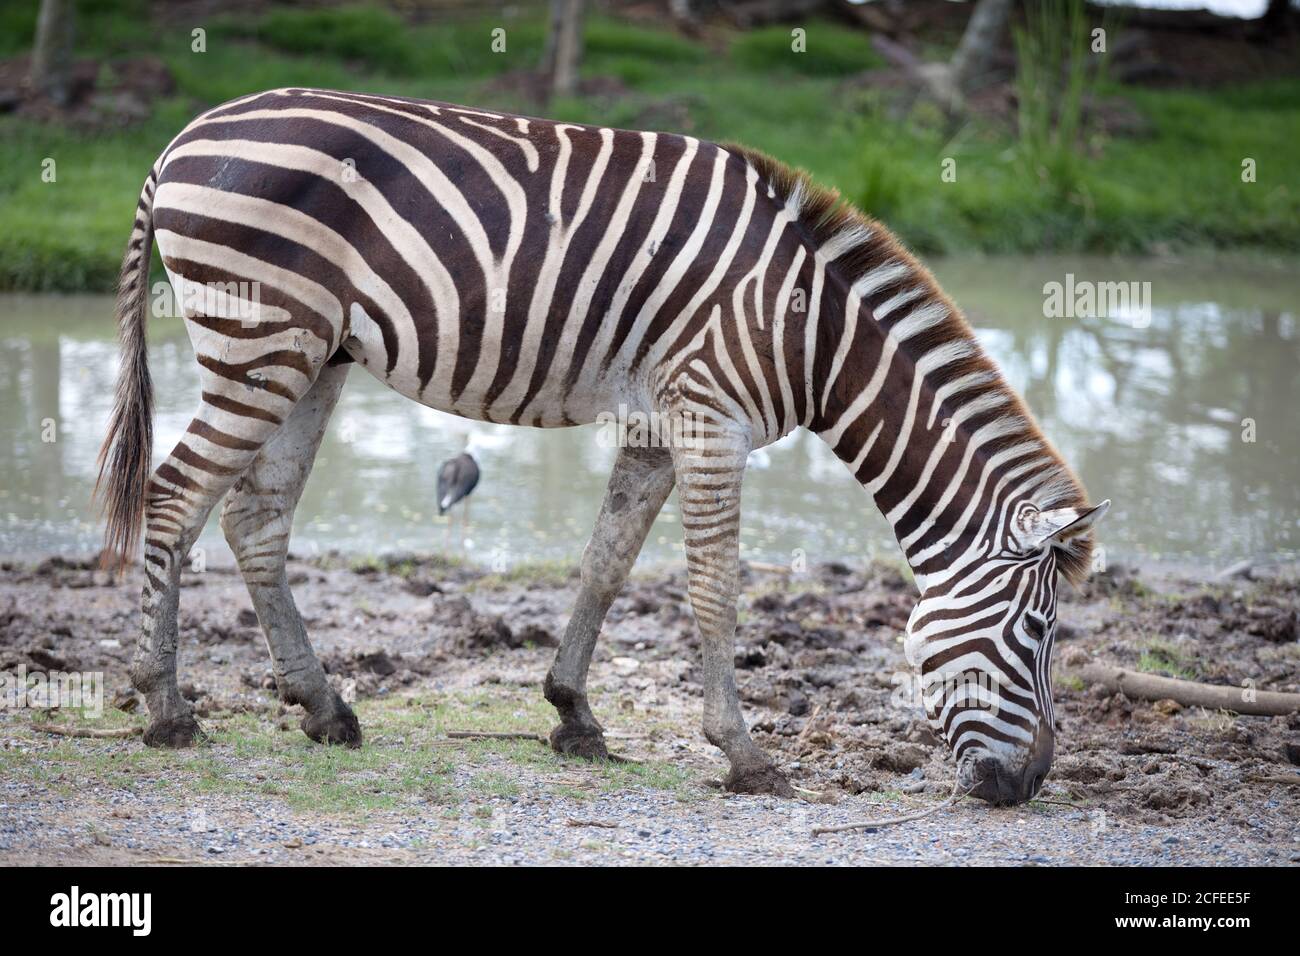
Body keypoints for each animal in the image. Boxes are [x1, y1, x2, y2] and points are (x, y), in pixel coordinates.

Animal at [97, 87, 1108, 803]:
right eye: (1038, 633)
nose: (1029, 788)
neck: (810, 330)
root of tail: (184, 137)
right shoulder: (710, 420)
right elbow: (713, 591)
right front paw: (745, 755)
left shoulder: (661, 424)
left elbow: (606, 562)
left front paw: (573, 715)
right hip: (260, 342)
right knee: (175, 495)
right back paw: (166, 707)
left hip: (315, 356)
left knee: (254, 518)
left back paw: (321, 707)